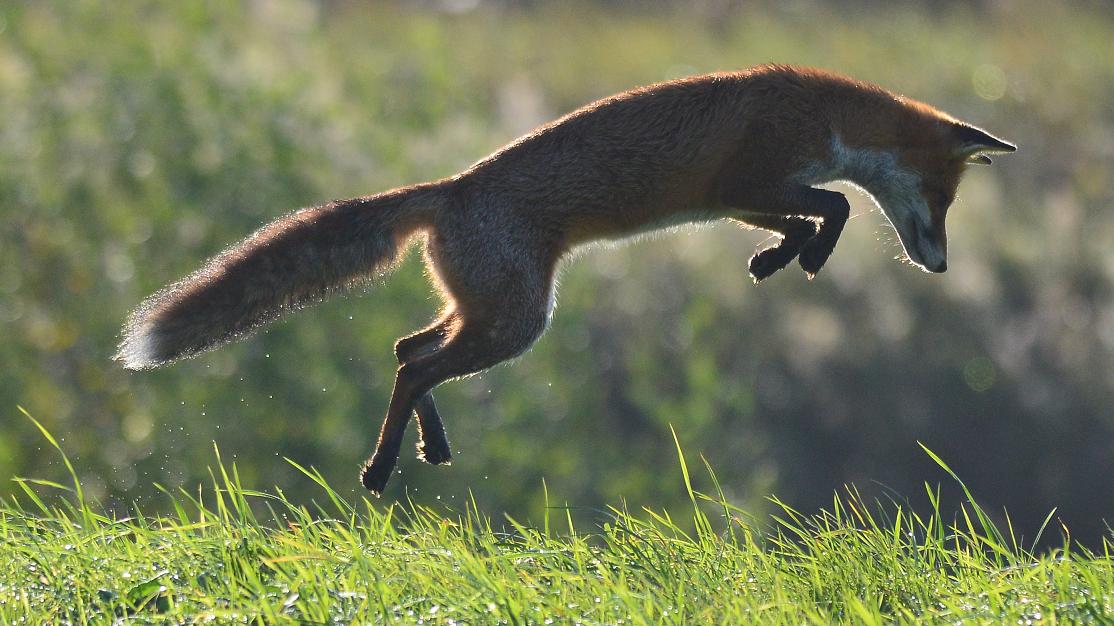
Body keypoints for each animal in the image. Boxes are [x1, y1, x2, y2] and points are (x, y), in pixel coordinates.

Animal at [116, 64, 1015, 494]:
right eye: (942, 199)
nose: (941, 265)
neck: (825, 115)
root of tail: (449, 188)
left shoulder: (734, 198)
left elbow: (808, 216)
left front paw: (778, 260)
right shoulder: (746, 180)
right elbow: (836, 206)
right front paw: (808, 256)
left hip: (491, 313)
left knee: (408, 349)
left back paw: (426, 448)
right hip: (519, 323)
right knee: (414, 365)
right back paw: (379, 468)